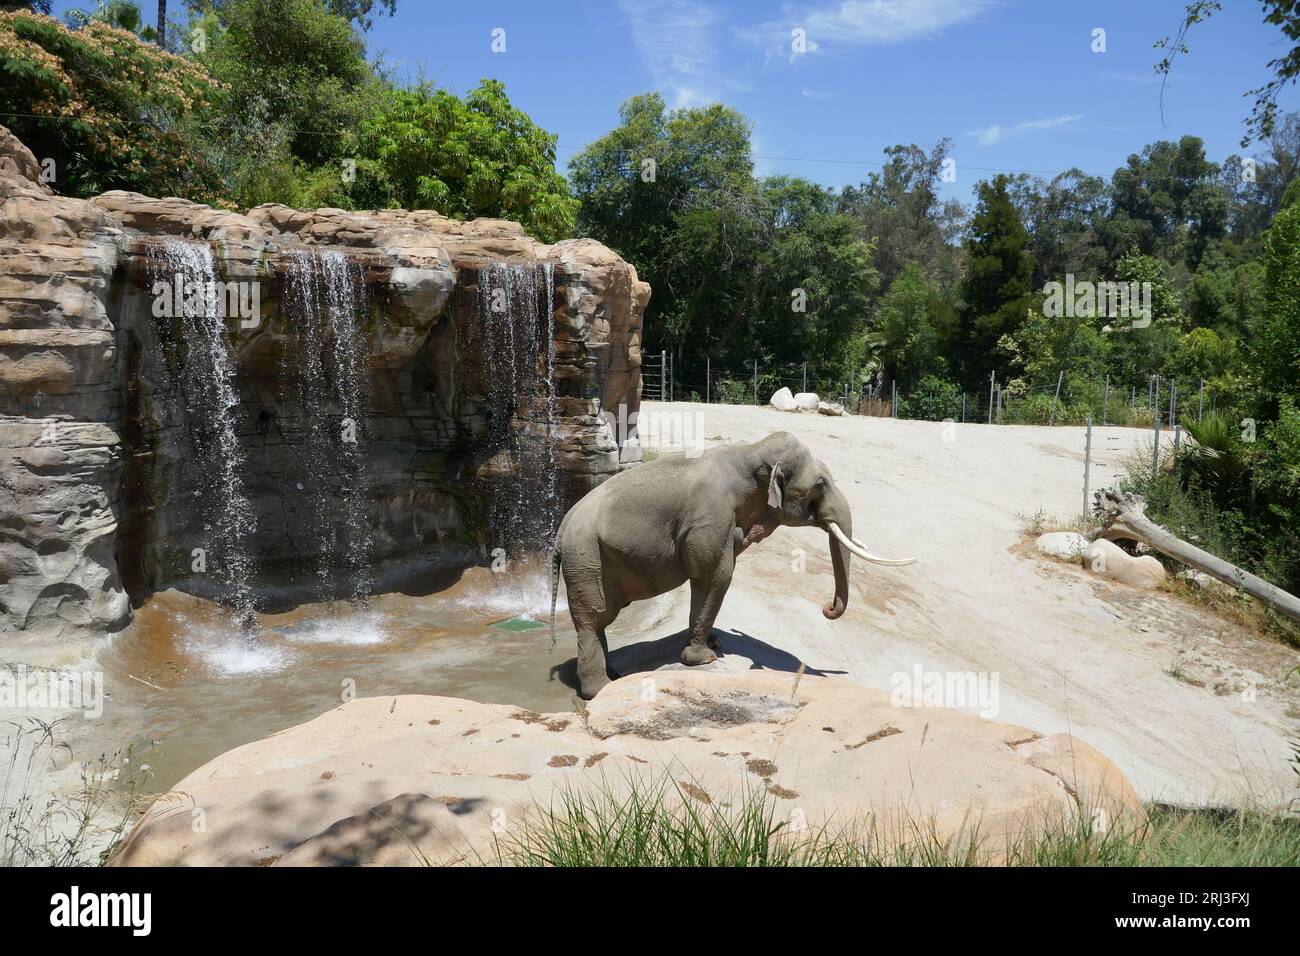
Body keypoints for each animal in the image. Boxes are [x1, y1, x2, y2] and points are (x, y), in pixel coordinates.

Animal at [548, 431, 915, 699]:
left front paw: (715, 645)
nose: (827, 608)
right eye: (821, 484)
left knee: (595, 622)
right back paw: (601, 689)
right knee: (593, 618)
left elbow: (714, 575)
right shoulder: (710, 519)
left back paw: (613, 674)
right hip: (586, 558)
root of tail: (559, 532)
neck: (749, 452)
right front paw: (705, 658)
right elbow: (717, 576)